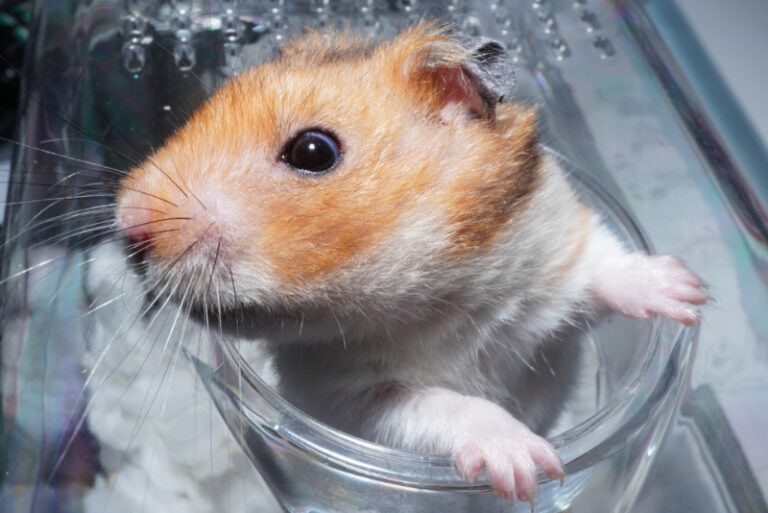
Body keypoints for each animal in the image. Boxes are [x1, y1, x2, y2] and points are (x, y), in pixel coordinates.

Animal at [114, 23, 708, 505]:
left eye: (312, 152)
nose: (127, 226)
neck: (437, 298)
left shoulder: (556, 252)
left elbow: (603, 270)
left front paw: (689, 293)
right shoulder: (348, 400)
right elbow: (441, 405)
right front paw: (529, 468)